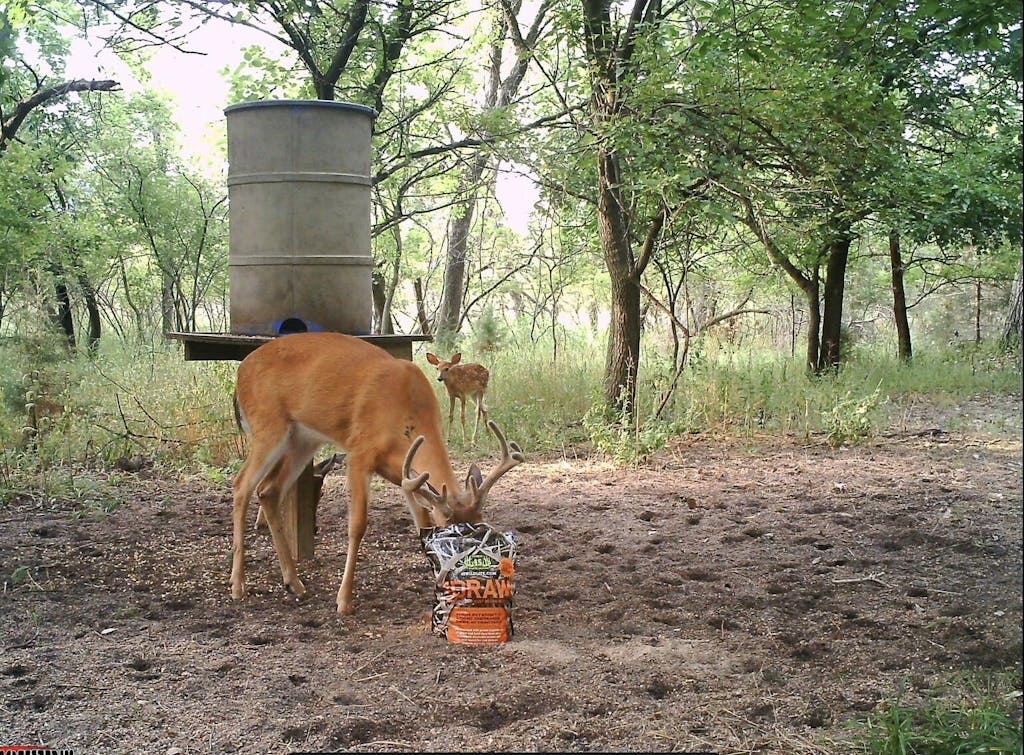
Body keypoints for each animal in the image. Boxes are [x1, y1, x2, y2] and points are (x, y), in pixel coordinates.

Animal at [231, 331, 524, 615]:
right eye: (451, 534)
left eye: (481, 529)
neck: (405, 407)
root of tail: (241, 372)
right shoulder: (360, 451)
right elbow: (357, 524)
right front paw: (344, 601)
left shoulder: (403, 471)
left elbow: (422, 521)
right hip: (268, 424)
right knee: (241, 485)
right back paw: (238, 586)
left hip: (302, 439)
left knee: (268, 490)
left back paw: (294, 583)